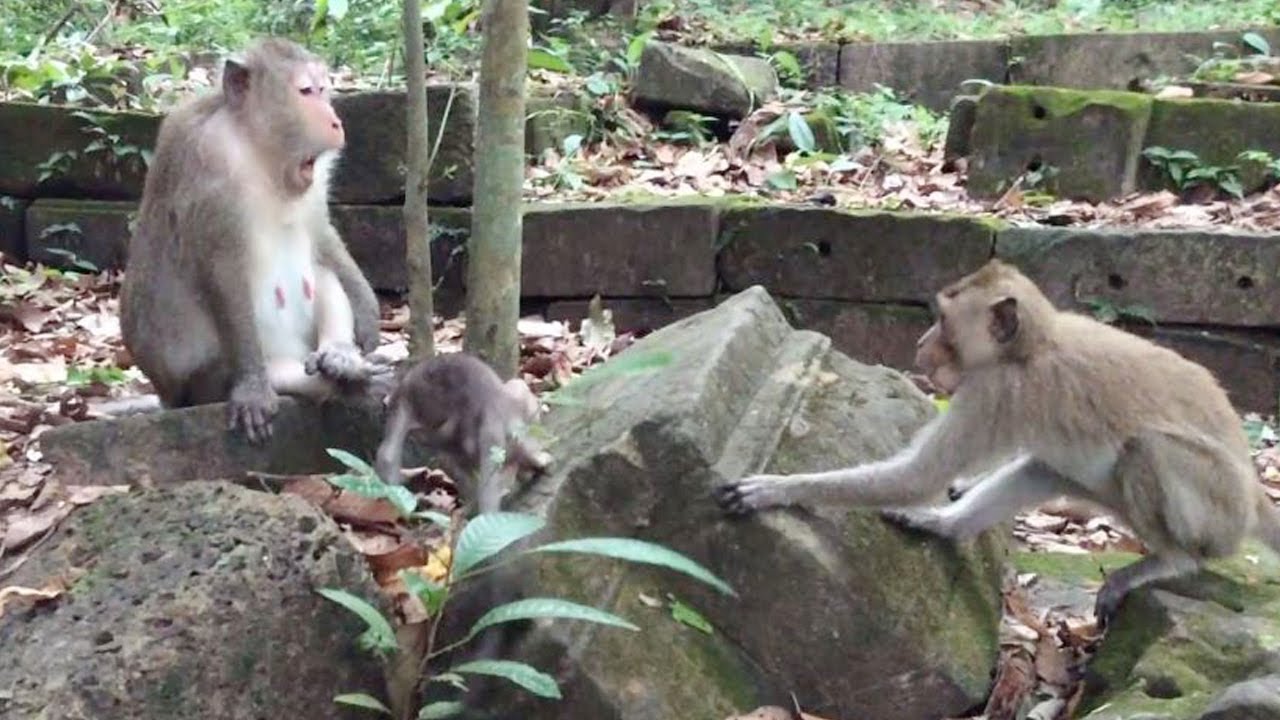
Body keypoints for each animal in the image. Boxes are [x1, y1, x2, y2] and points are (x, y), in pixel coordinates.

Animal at [119, 38, 388, 444]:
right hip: (203, 382)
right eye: (305, 92)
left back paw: (341, 359)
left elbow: (319, 230)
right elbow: (223, 271)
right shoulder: (209, 165)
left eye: (323, 89)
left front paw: (367, 314)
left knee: (321, 269)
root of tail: (168, 398)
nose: (336, 122)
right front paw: (252, 387)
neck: (256, 148)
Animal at [715, 259, 1280, 626]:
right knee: (1046, 467)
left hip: (1217, 510)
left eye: (943, 322)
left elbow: (918, 475)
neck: (1031, 348)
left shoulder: (995, 392)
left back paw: (1172, 561)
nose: (920, 343)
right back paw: (948, 525)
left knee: (1148, 451)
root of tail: (1255, 496)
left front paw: (776, 489)